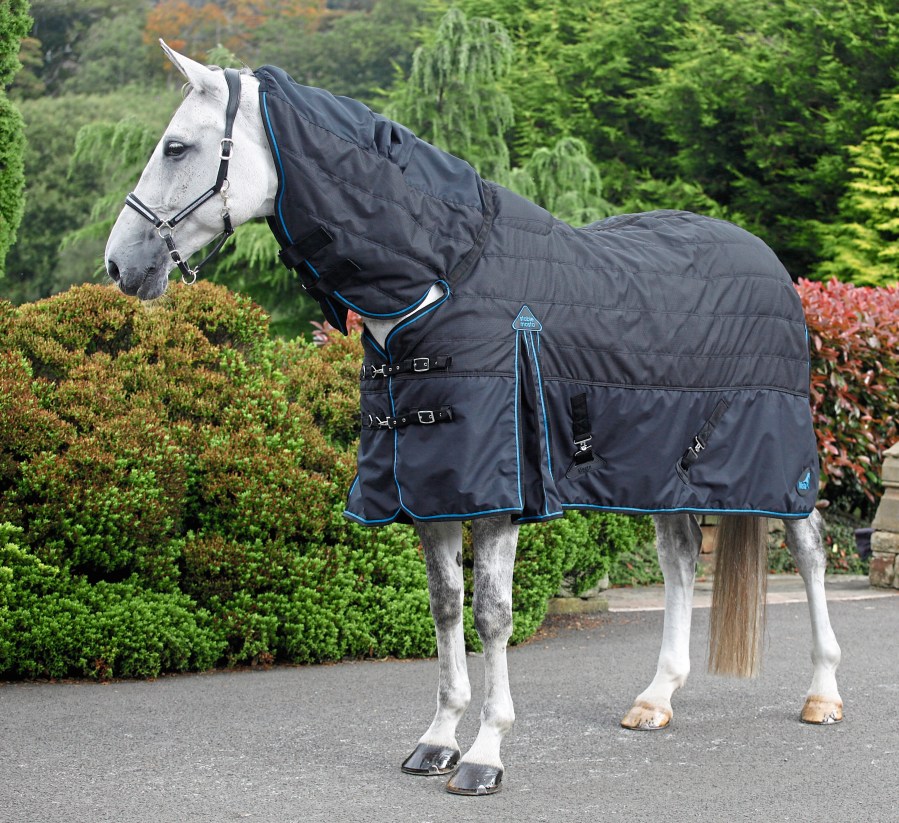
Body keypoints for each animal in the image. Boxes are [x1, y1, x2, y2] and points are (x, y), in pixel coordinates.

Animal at [104, 44, 843, 796]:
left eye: (175, 147)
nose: (119, 263)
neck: (445, 277)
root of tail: (766, 259)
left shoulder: (495, 494)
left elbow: (492, 615)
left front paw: (486, 753)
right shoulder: (430, 493)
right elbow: (444, 607)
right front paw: (436, 741)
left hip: (781, 462)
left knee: (810, 547)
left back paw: (822, 693)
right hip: (667, 468)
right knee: (681, 556)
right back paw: (655, 699)